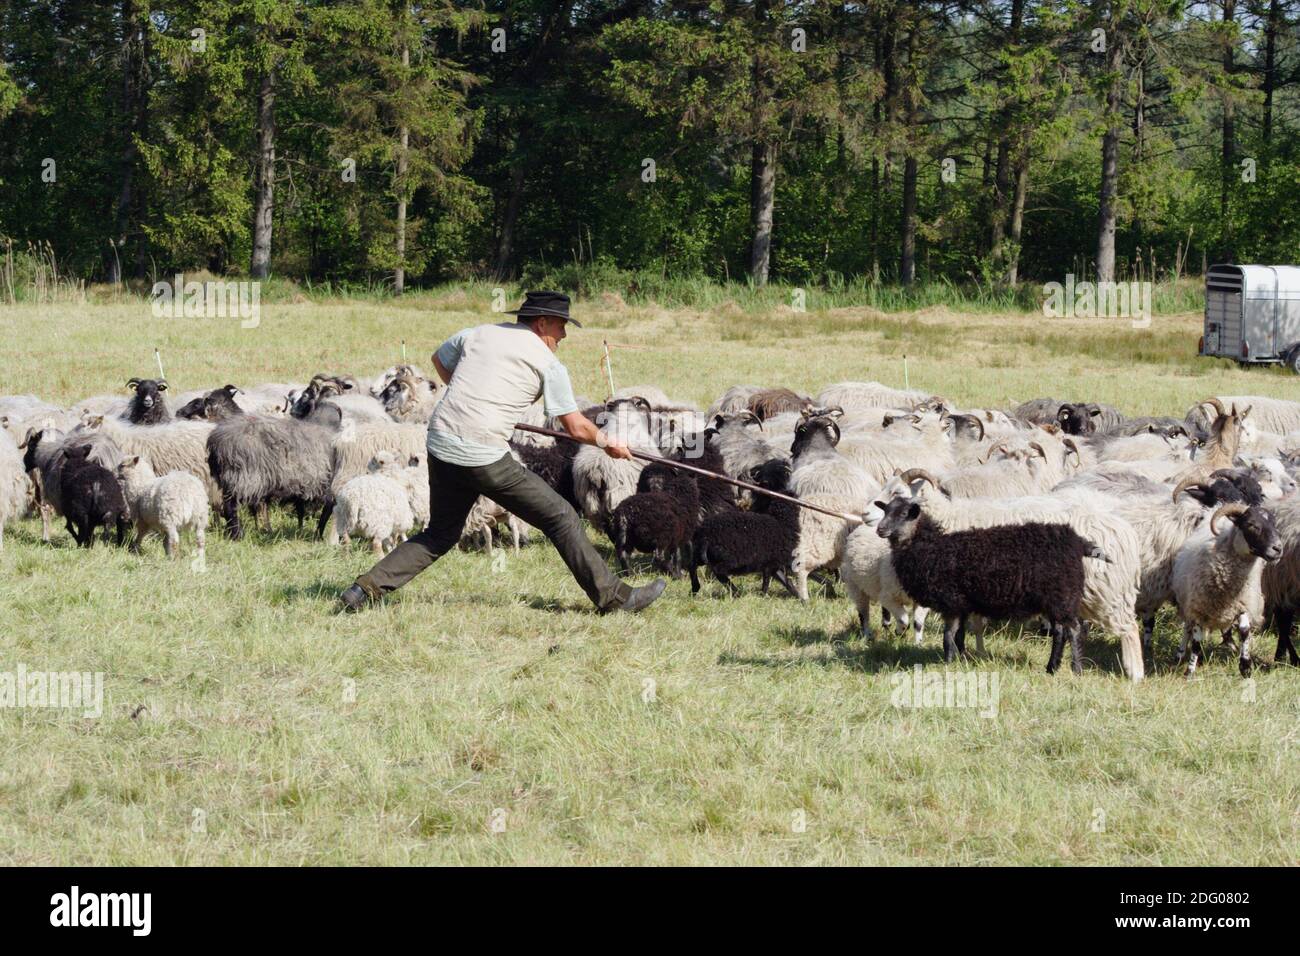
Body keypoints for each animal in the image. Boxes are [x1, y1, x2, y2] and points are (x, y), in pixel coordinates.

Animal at [689, 459, 801, 597]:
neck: (780, 521)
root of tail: (706, 536)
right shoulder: (771, 562)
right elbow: (768, 580)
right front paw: (764, 595)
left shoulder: (771, 562)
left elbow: (784, 581)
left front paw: (801, 598)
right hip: (731, 559)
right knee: (718, 571)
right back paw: (735, 591)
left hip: (704, 554)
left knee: (693, 565)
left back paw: (696, 588)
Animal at [875, 492, 1110, 674]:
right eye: (885, 511)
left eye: (904, 514)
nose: (880, 529)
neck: (931, 547)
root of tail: (1078, 541)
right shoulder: (963, 603)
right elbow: (959, 636)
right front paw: (962, 659)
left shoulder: (951, 601)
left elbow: (948, 636)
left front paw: (949, 663)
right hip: (1054, 597)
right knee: (1060, 632)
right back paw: (1051, 668)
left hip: (1062, 594)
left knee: (1073, 630)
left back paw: (1075, 669)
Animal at [1171, 503, 1281, 676]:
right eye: (1251, 524)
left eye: (1274, 525)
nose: (1278, 548)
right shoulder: (1199, 609)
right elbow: (1196, 642)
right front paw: (1189, 672)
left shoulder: (1242, 604)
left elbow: (1244, 631)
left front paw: (1245, 667)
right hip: (1186, 602)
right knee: (1187, 628)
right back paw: (1180, 654)